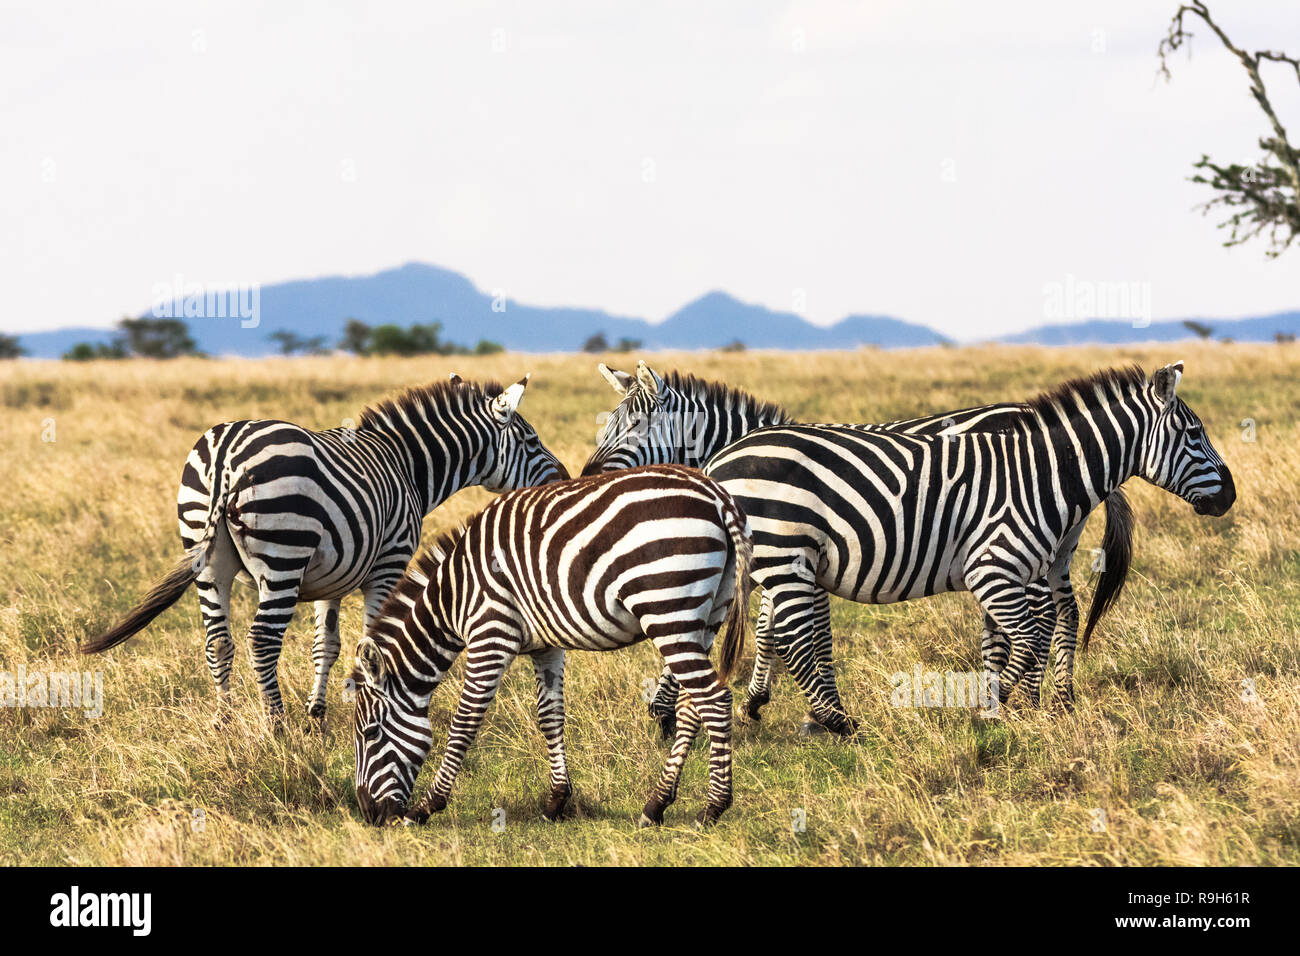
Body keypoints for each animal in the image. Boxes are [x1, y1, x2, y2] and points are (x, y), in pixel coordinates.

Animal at [81, 374, 568, 720]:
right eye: (531, 441)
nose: (564, 478)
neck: (406, 466)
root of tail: (224, 454)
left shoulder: (330, 575)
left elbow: (325, 644)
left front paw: (318, 713)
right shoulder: (388, 564)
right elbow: (372, 640)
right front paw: (363, 706)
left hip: (208, 555)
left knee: (218, 641)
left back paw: (225, 721)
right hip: (282, 556)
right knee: (262, 640)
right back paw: (275, 725)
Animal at [350, 464, 752, 828]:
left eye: (370, 733)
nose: (369, 816)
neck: (455, 594)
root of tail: (717, 497)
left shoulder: (490, 634)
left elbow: (464, 722)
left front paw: (427, 806)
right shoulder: (546, 645)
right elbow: (550, 716)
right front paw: (556, 800)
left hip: (668, 609)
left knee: (715, 700)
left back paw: (712, 809)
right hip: (706, 617)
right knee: (692, 706)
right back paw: (656, 805)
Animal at [583, 361, 1133, 735]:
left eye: (633, 429)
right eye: (605, 426)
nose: (586, 476)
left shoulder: (789, 555)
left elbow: (778, 632)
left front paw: (730, 703)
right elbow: (780, 629)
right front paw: (770, 700)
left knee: (1043, 613)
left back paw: (1026, 697)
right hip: (1055, 545)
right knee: (1065, 610)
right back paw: (1054, 696)